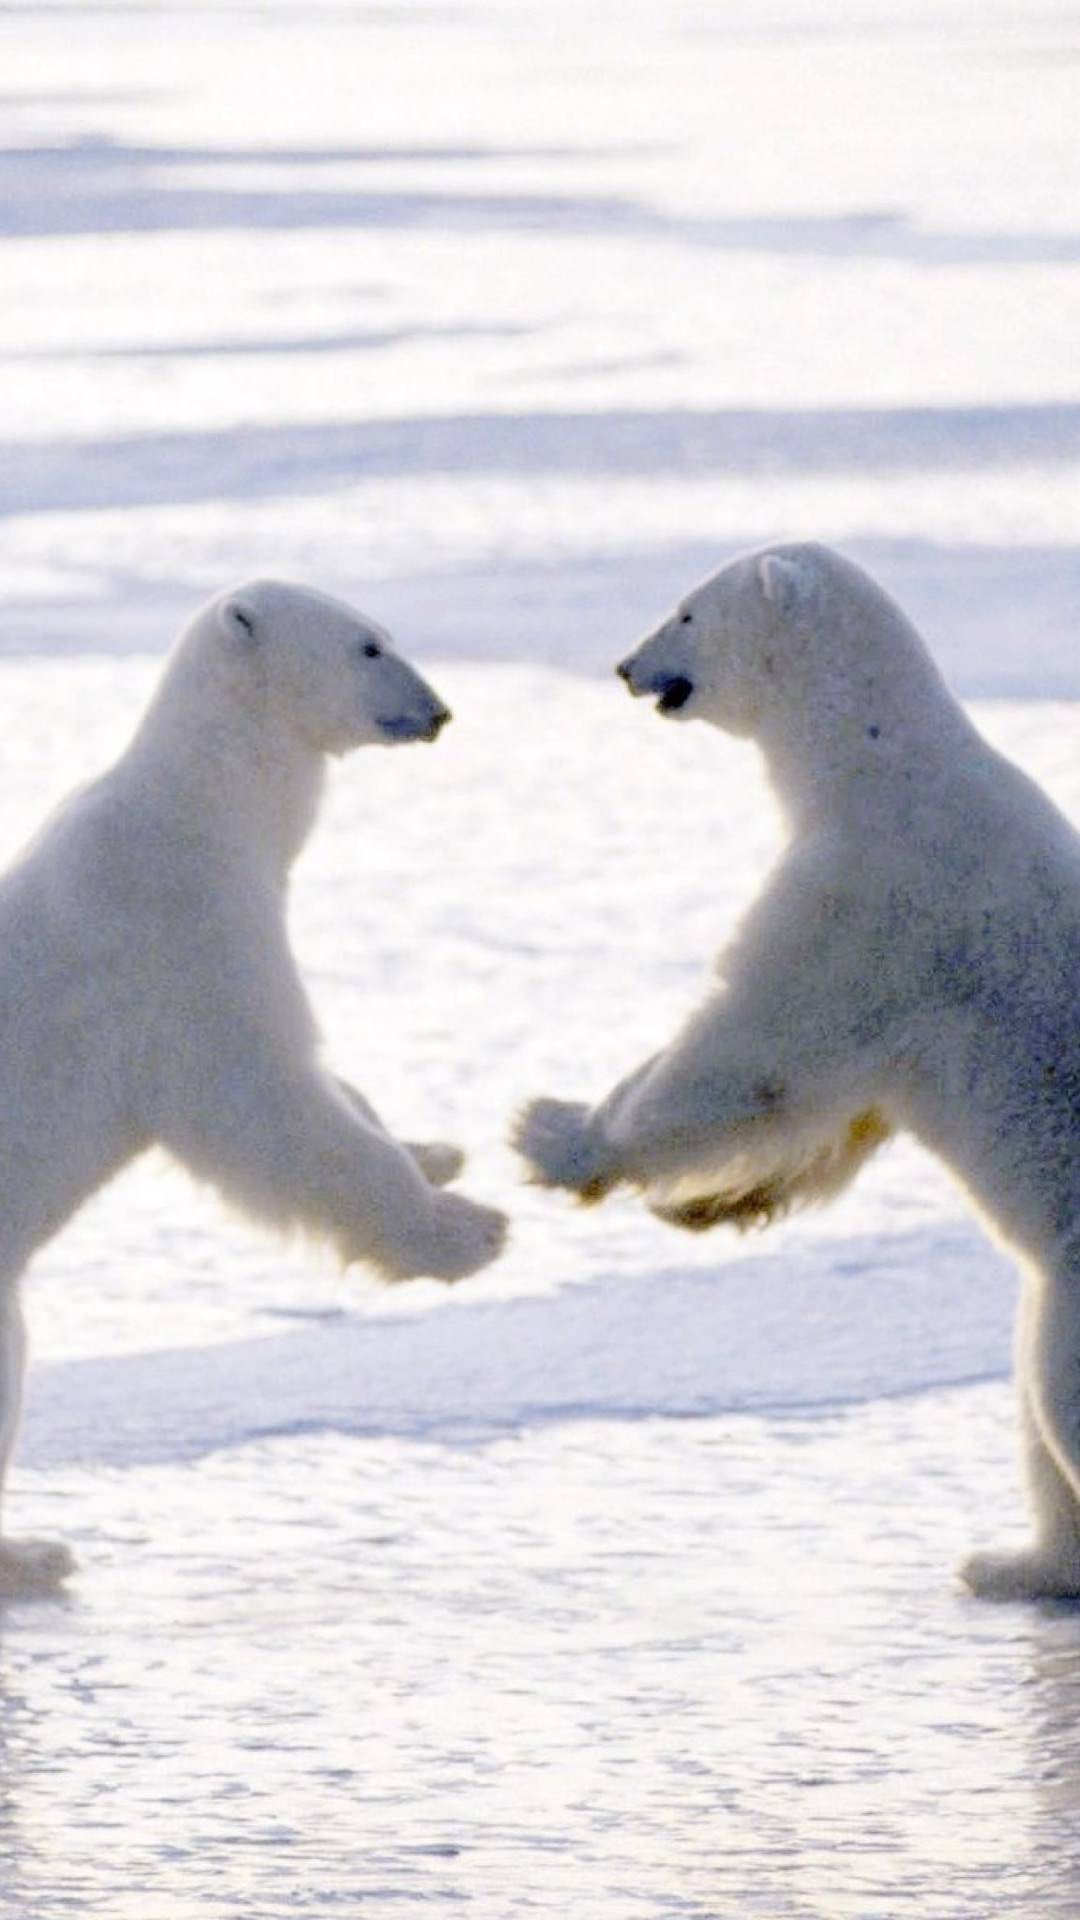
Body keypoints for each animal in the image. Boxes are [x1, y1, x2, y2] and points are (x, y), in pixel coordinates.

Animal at [0, 579, 508, 1596]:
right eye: (365, 647)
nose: (438, 711)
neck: (196, 806)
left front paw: (437, 1150)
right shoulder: (175, 933)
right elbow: (260, 1099)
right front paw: (467, 1231)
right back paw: (36, 1554)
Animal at [515, 540, 1080, 1601]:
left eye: (687, 610)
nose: (624, 665)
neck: (878, 754)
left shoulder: (869, 893)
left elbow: (755, 1049)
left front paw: (555, 1132)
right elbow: (833, 1114)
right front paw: (707, 1205)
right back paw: (1012, 1561)